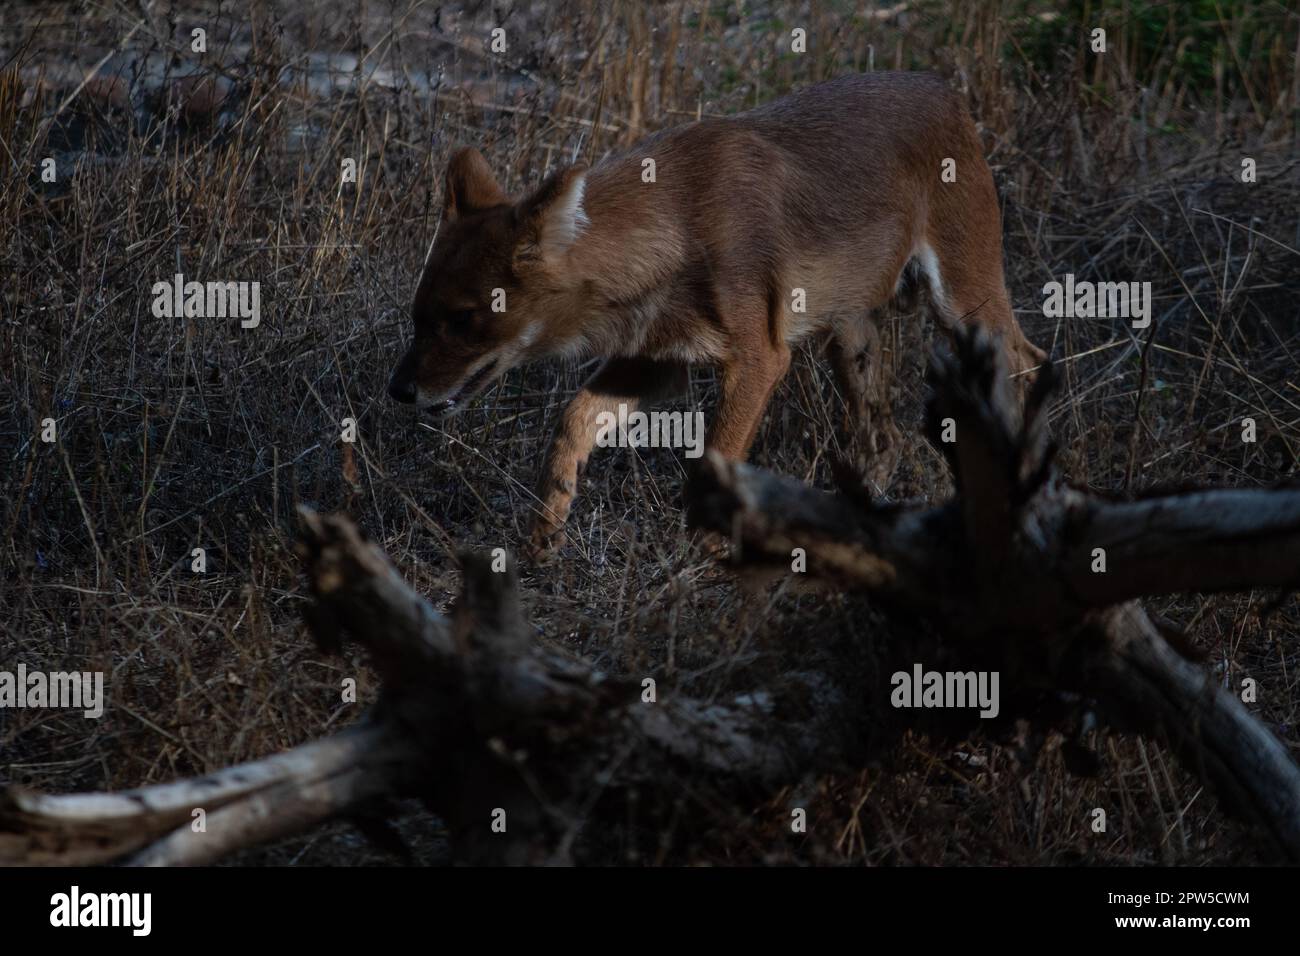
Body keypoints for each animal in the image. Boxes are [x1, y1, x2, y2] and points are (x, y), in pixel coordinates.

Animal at [387, 71, 1045, 556]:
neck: (675, 229)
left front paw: (697, 560)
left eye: (463, 318)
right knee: (887, 435)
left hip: (962, 298)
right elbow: (572, 420)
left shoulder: (760, 359)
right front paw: (542, 539)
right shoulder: (654, 361)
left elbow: (716, 458)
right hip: (848, 333)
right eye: (418, 315)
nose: (398, 391)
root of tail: (944, 88)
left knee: (1029, 360)